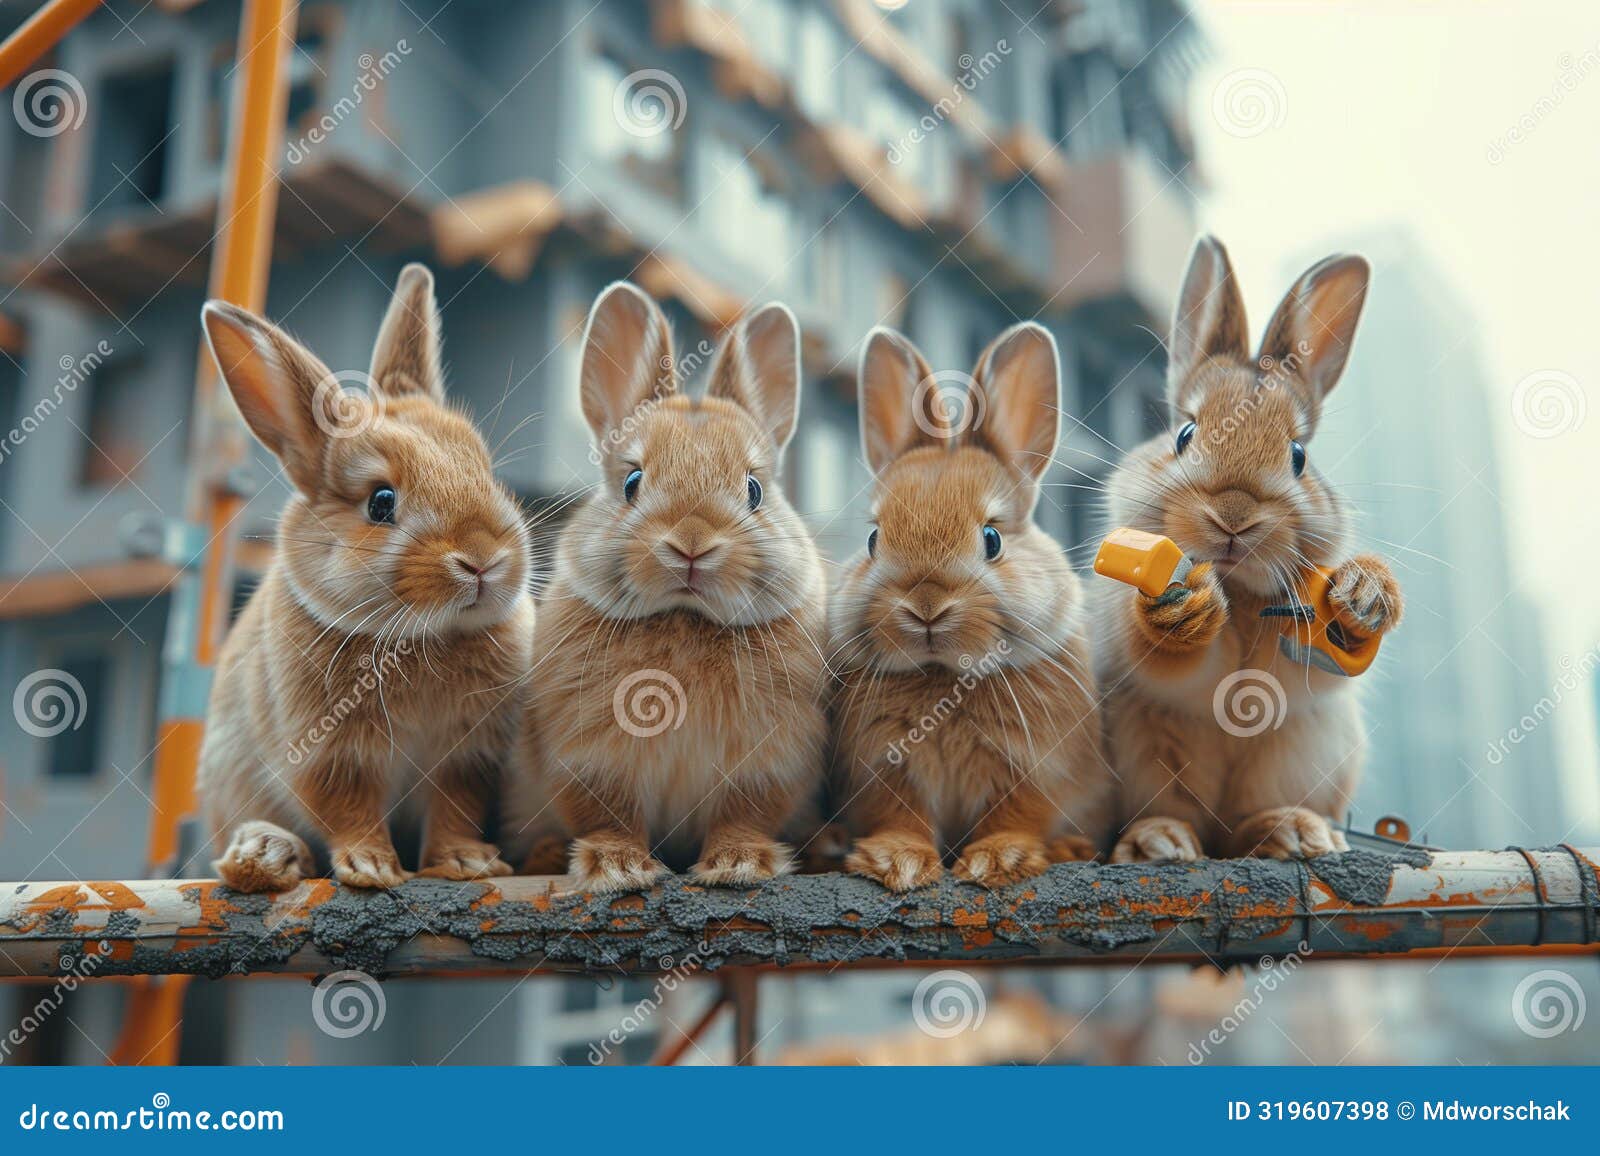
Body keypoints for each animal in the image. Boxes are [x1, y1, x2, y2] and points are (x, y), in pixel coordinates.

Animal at [197, 264, 538, 893]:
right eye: (381, 502)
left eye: (485, 471)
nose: (483, 559)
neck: (421, 638)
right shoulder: (329, 753)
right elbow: (348, 808)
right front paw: (373, 868)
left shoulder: (467, 755)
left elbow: (454, 808)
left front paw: (467, 863)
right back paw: (263, 857)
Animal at [522, 282, 829, 892]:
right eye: (632, 482)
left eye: (755, 489)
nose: (691, 543)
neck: (686, 616)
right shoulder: (590, 760)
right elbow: (610, 813)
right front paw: (618, 868)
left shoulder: (768, 765)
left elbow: (744, 814)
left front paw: (738, 865)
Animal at [829, 323, 1112, 892]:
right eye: (873, 540)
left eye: (992, 539)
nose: (926, 606)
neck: (943, 676)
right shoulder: (883, 769)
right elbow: (900, 816)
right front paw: (898, 862)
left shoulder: (1032, 767)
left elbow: (1015, 815)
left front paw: (995, 862)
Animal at [1095, 235, 1403, 864]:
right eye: (1185, 435)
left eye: (1299, 456)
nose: (1234, 518)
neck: (1235, 588)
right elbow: (1165, 658)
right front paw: (1184, 610)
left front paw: (1364, 594)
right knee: (1181, 822)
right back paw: (1158, 842)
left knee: (1240, 829)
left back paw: (1293, 833)